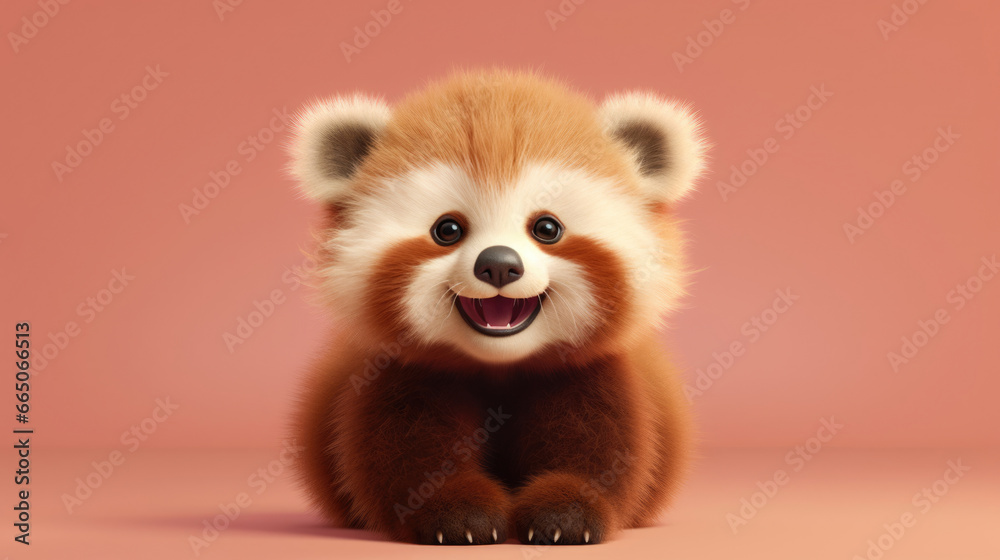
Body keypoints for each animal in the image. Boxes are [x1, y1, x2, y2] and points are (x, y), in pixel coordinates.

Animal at [289, 69, 707, 545]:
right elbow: (403, 455)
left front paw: (566, 514)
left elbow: (605, 453)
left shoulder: (591, 374)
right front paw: (456, 512)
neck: (501, 364)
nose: (499, 264)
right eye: (447, 229)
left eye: (547, 228)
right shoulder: (401, 375)